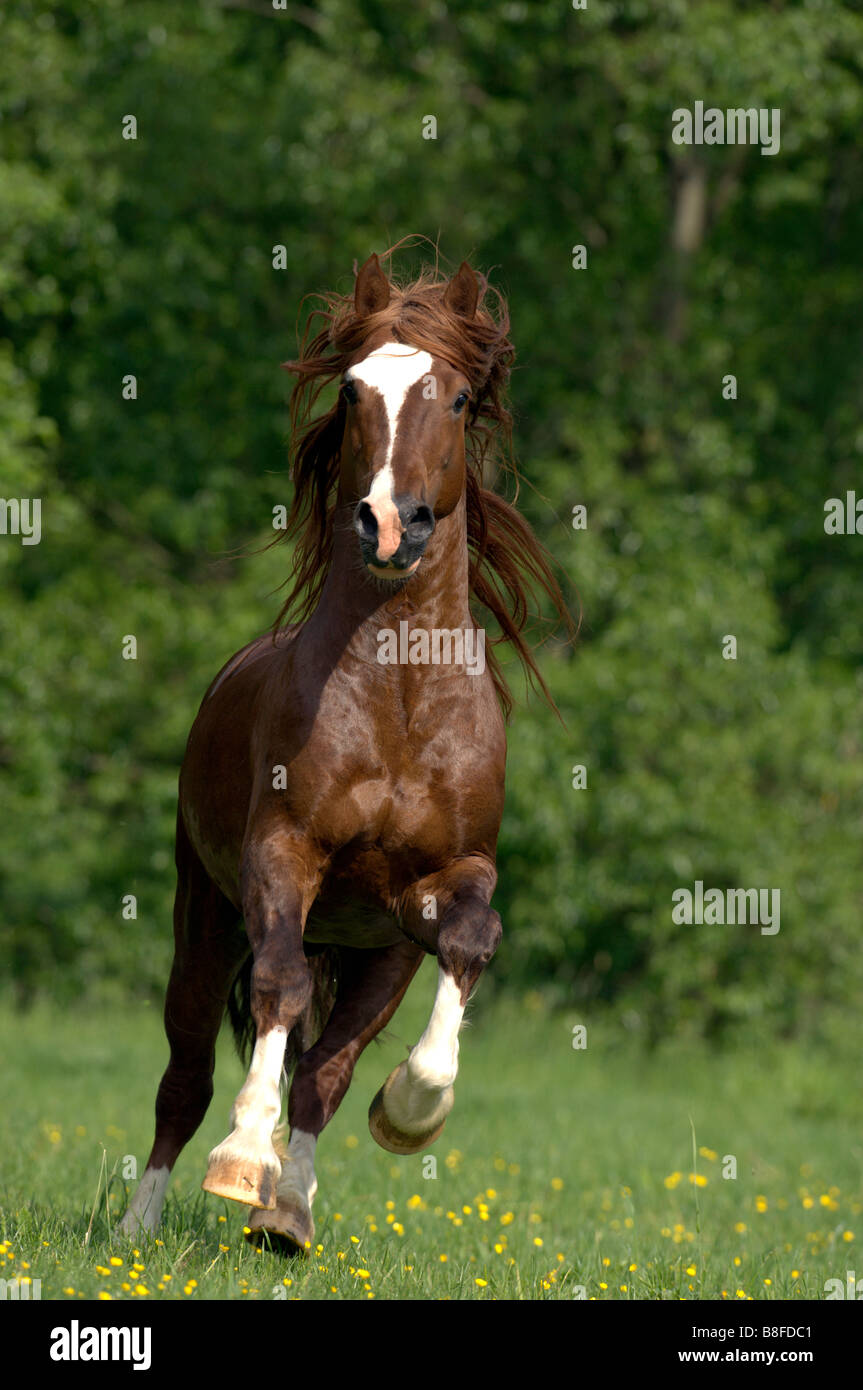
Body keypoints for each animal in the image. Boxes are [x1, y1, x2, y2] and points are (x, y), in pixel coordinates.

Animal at [120, 249, 570, 1254]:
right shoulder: (281, 854)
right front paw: (240, 1159)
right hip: (202, 911)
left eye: (456, 398)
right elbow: (280, 985)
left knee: (326, 1068)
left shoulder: (440, 881)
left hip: (378, 953)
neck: (399, 702)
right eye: (356, 390)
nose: (388, 523)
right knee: (184, 1069)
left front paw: (410, 1111)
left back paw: (286, 1218)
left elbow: (471, 943)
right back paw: (141, 1220)